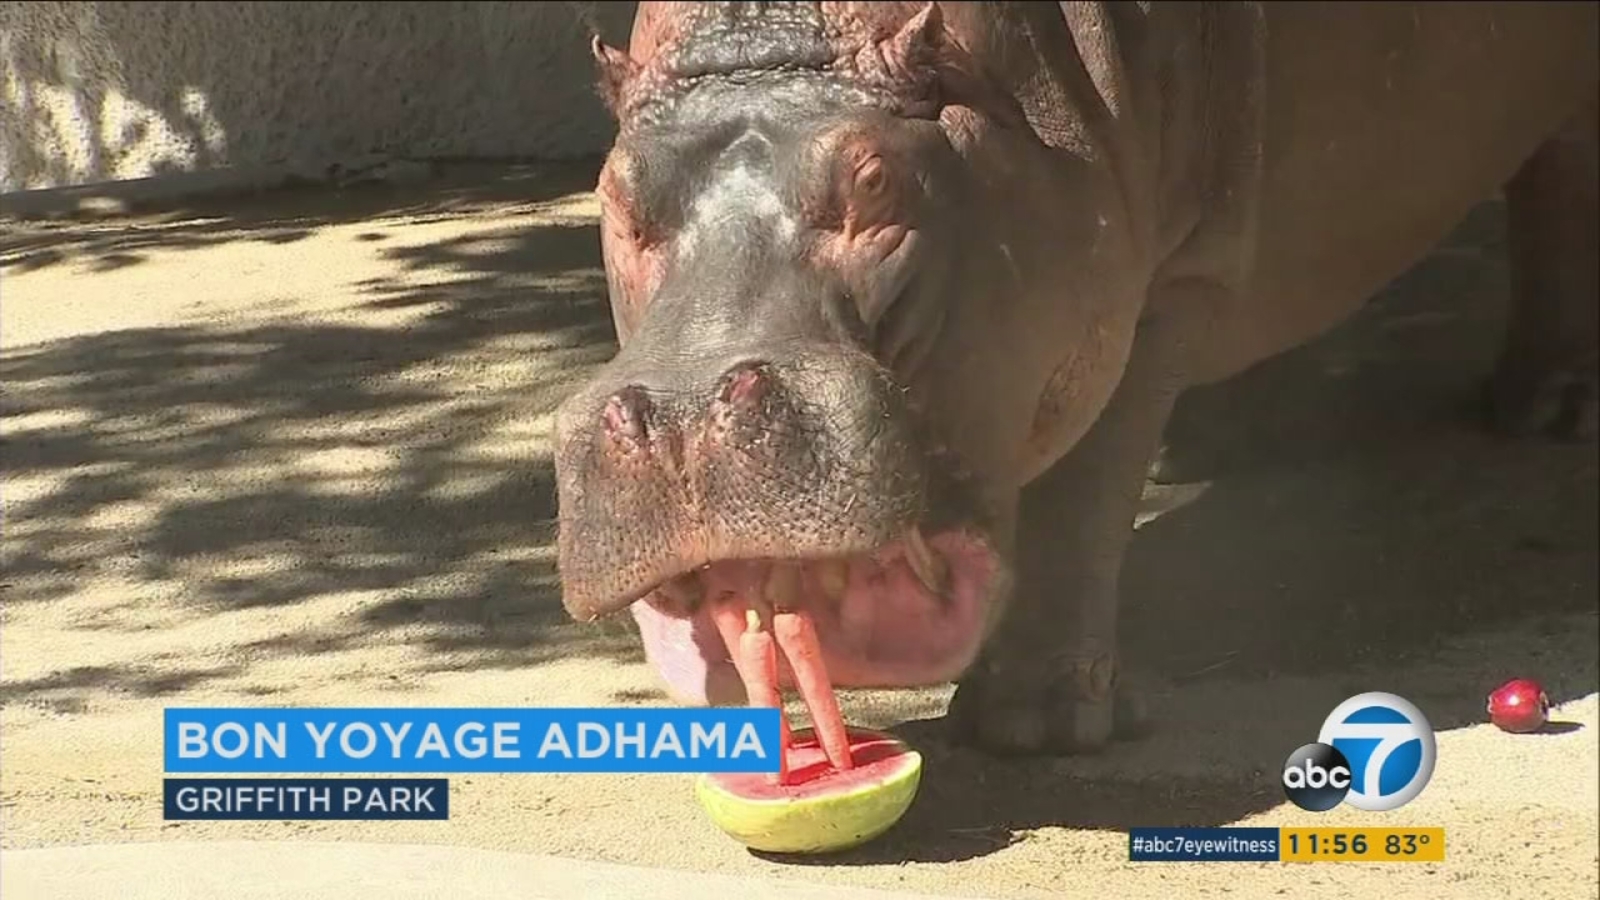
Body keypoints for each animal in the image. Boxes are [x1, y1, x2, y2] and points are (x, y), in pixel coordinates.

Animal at [552, 1, 1598, 757]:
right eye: (616, 196)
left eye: (879, 184)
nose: (685, 417)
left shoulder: (1151, 296)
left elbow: (1082, 493)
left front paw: (1036, 728)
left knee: (1564, 172)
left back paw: (1553, 411)